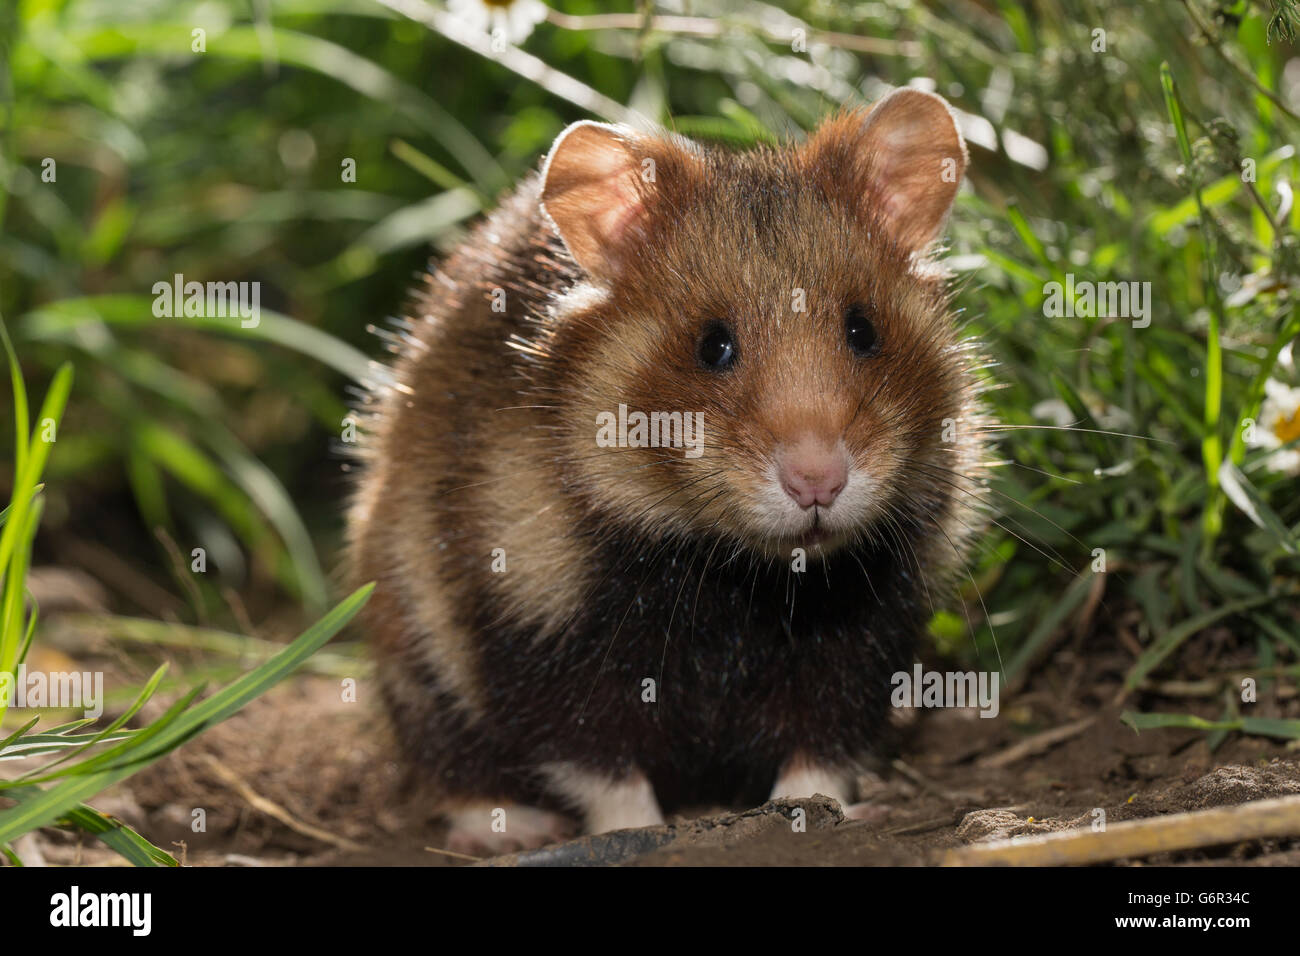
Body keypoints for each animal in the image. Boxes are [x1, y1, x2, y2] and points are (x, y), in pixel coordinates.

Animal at [347, 88, 991, 855]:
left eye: (864, 330)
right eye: (712, 345)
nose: (818, 482)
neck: (741, 578)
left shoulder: (869, 627)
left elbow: (821, 747)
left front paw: (825, 813)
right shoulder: (534, 622)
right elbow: (601, 763)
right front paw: (636, 832)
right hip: (412, 651)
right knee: (452, 760)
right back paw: (512, 830)